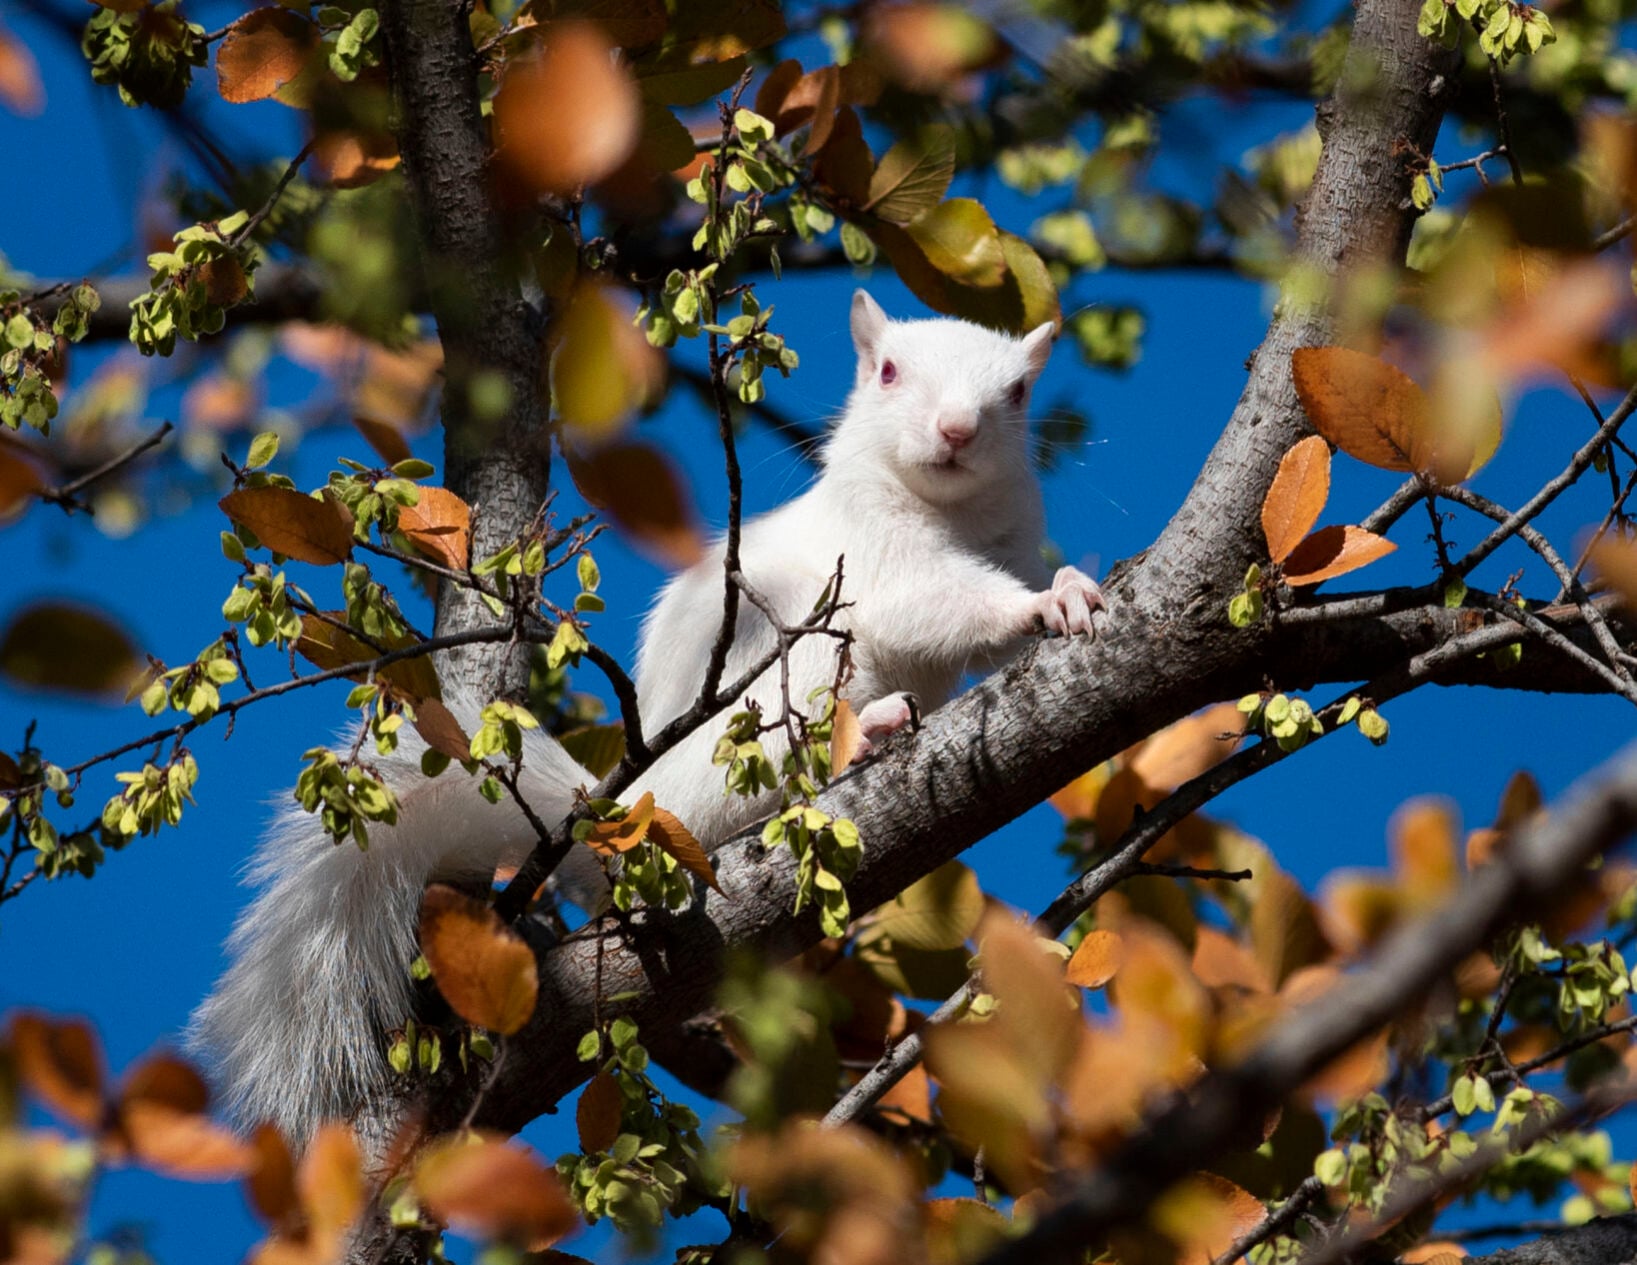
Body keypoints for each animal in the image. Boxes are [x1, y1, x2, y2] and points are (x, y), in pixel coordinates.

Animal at [189, 290, 1105, 1146]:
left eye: (1017, 391)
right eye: (885, 373)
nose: (955, 430)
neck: (946, 511)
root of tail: (623, 817)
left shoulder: (1007, 537)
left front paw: (1062, 585)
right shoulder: (874, 557)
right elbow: (932, 602)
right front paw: (1039, 604)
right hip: (779, 675)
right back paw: (865, 733)